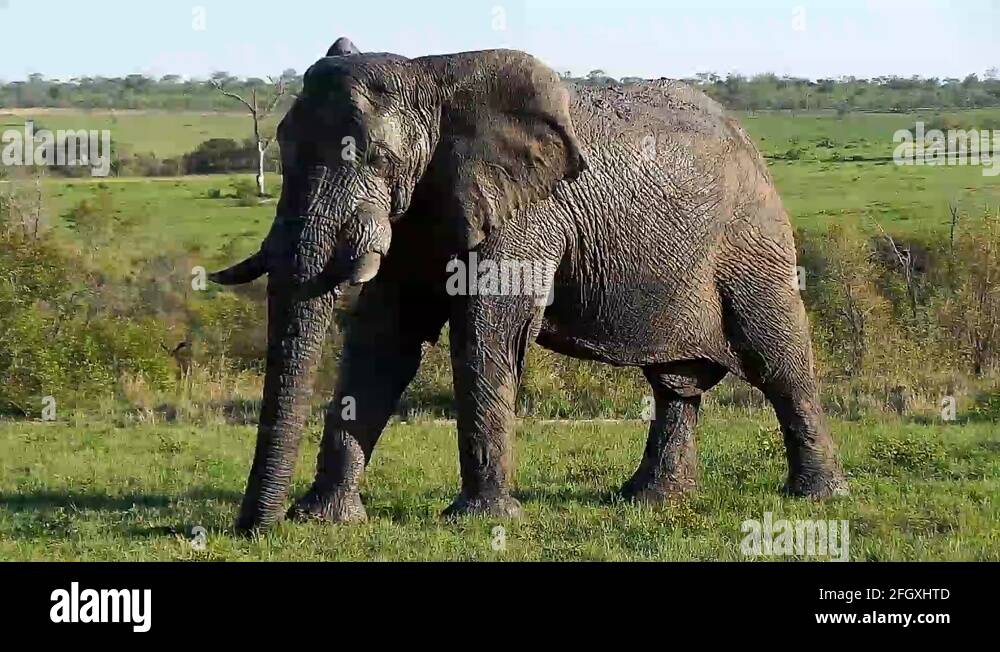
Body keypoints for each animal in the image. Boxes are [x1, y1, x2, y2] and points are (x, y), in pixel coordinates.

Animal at [211, 37, 848, 533]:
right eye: (282, 147)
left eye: (374, 155)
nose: (254, 531)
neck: (430, 78)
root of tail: (747, 139)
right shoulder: (424, 208)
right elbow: (384, 338)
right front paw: (326, 520)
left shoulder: (523, 214)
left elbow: (486, 334)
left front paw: (481, 522)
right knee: (676, 384)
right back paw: (649, 501)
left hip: (752, 240)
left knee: (779, 361)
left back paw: (819, 497)